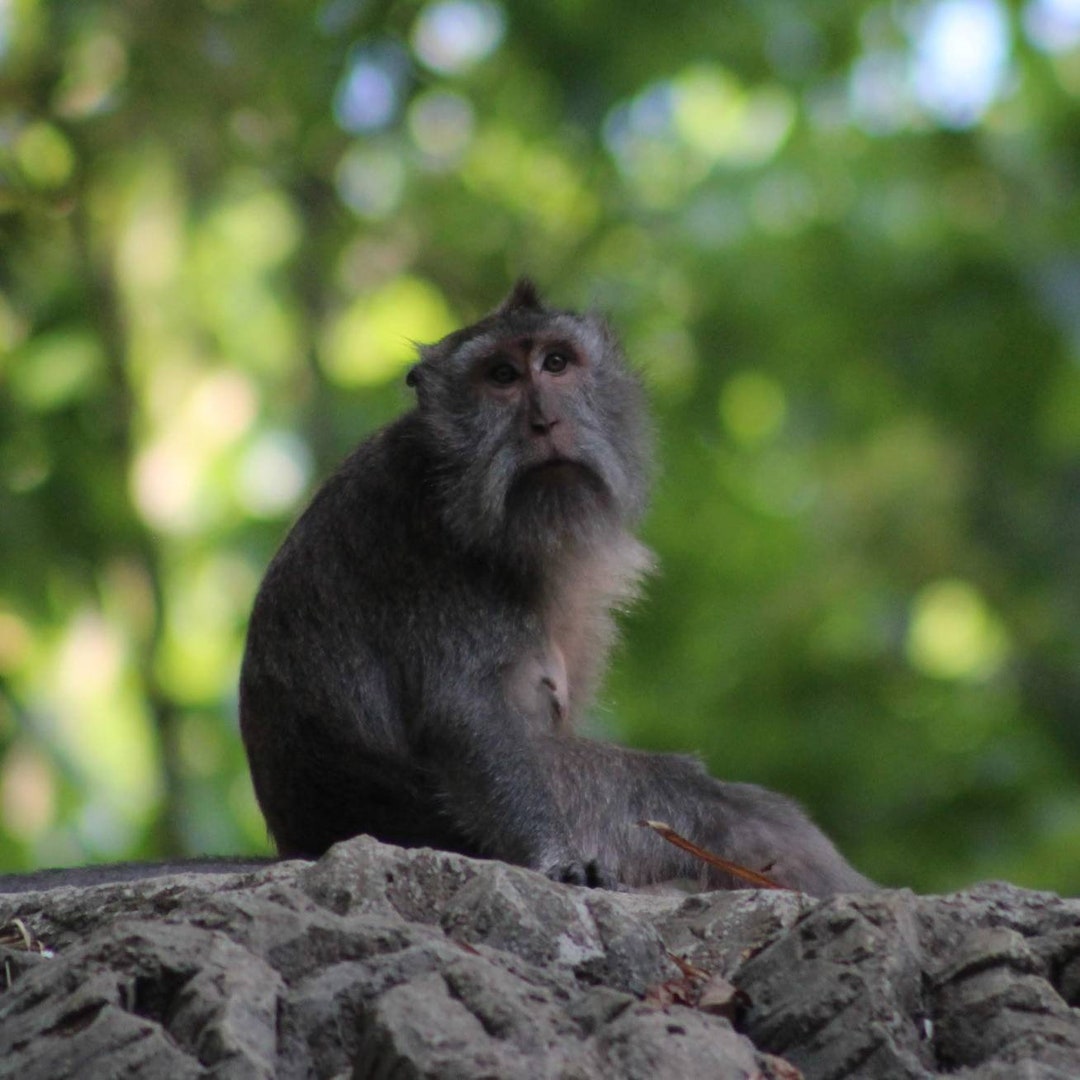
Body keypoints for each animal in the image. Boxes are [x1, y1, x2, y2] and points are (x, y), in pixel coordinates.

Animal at [238, 280, 873, 897]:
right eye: (501, 376)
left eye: (557, 362)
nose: (544, 422)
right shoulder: (423, 552)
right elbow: (468, 719)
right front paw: (554, 858)